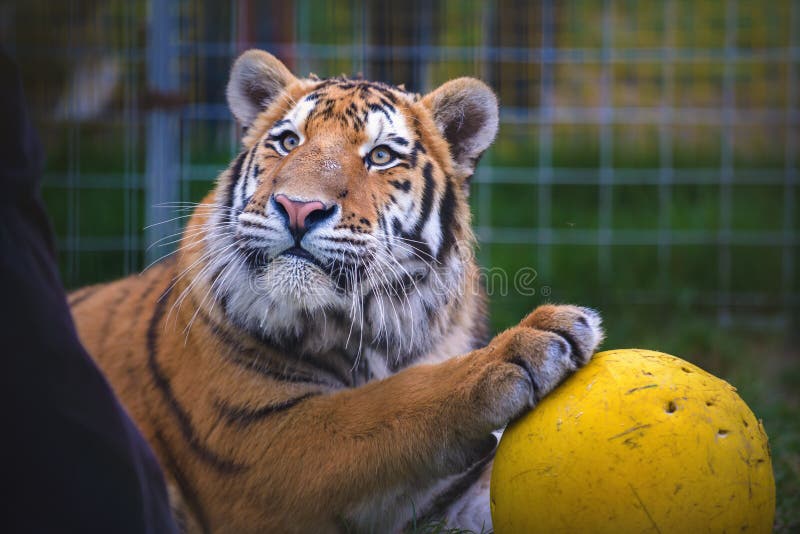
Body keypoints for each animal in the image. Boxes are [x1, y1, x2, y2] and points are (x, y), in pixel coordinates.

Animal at [69, 50, 604, 533]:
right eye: (287, 142)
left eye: (381, 156)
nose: (298, 207)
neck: (373, 332)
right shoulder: (261, 441)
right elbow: (386, 401)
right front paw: (524, 347)